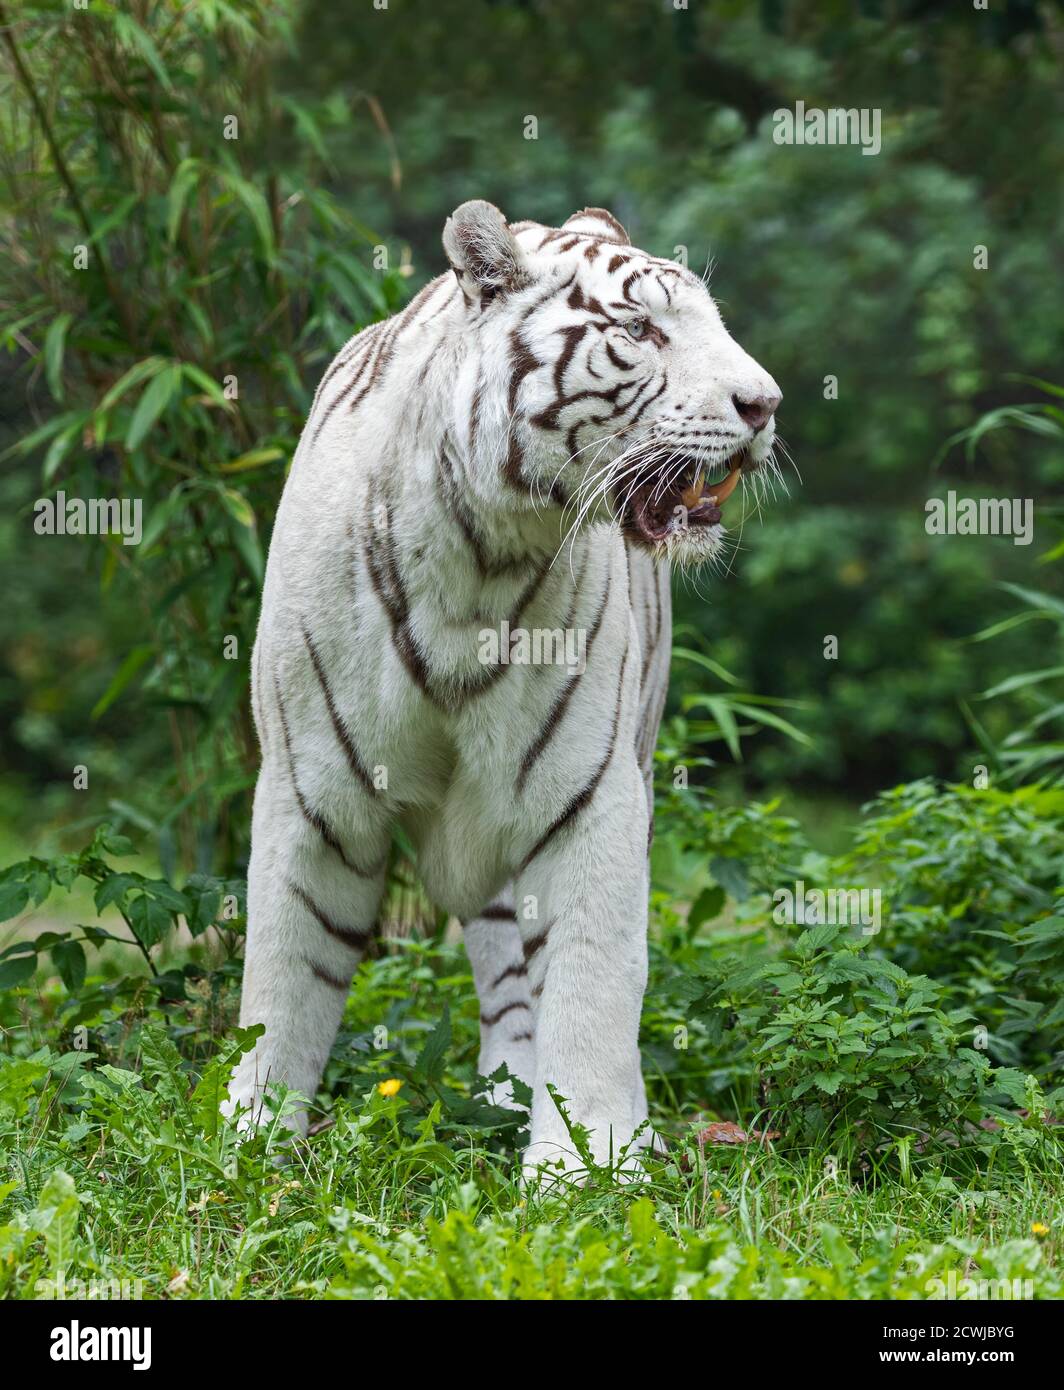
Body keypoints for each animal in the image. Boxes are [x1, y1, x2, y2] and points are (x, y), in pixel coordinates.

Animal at [224, 201, 781, 1178]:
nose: (766, 403)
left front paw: (589, 1165)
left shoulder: (588, 790)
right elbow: (286, 976)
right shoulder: (313, 788)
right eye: (641, 331)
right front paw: (249, 1149)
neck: (484, 549)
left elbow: (591, 980)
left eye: (712, 323)